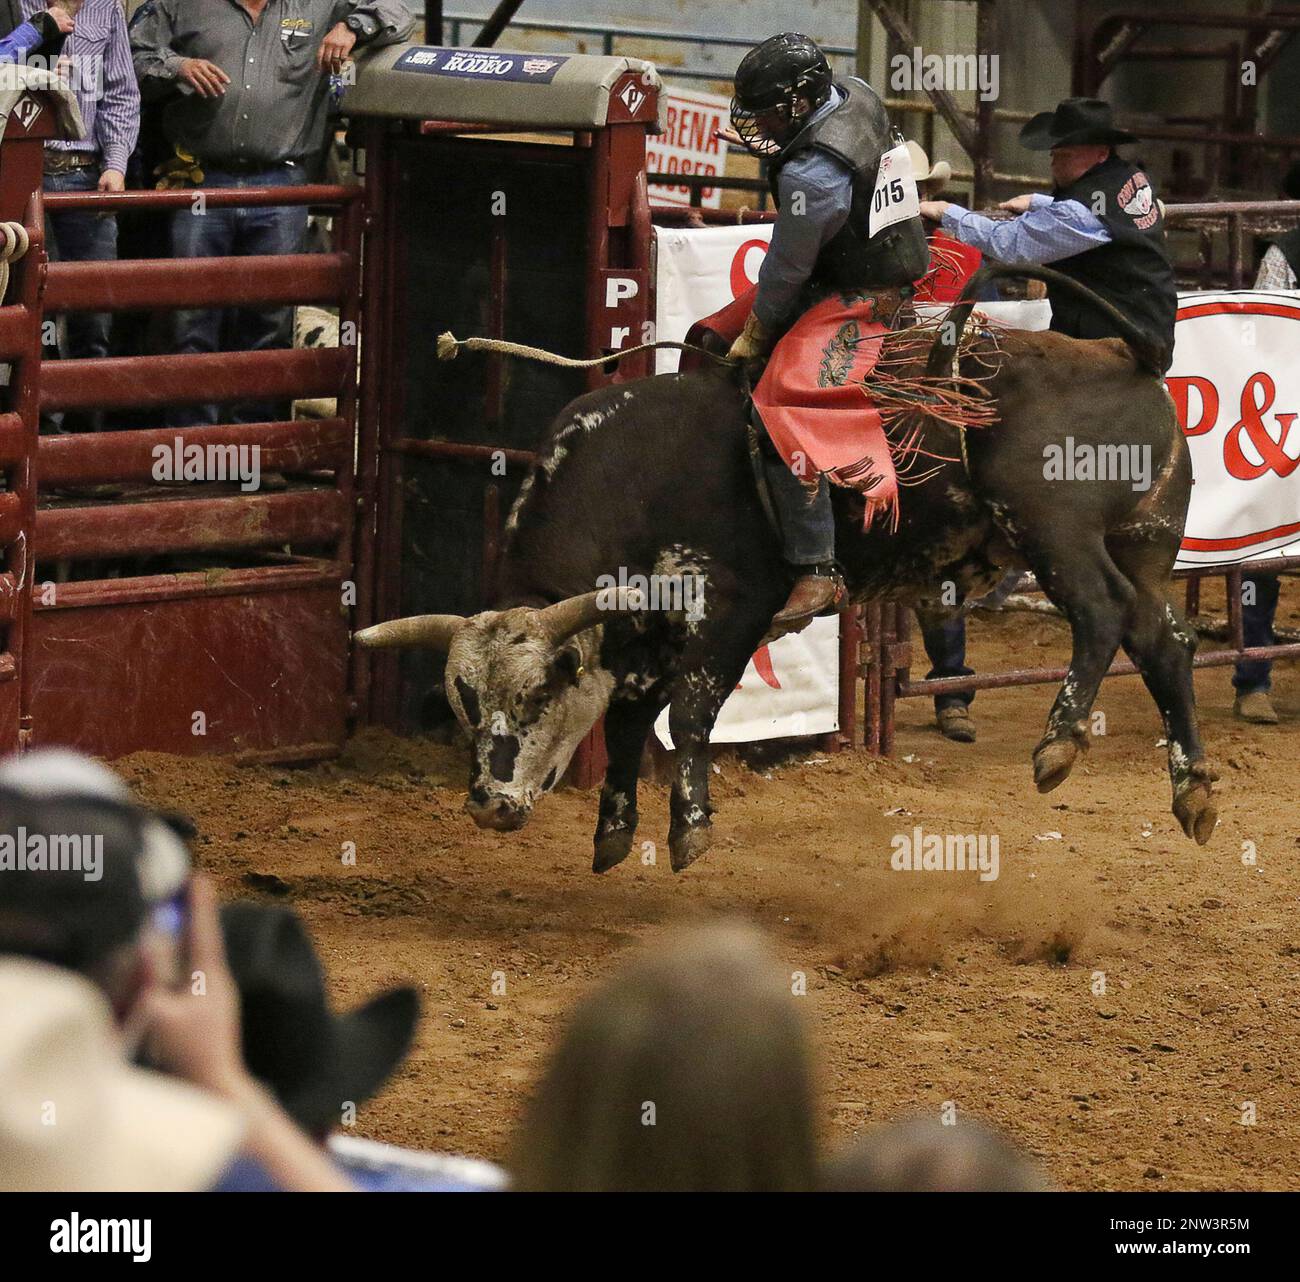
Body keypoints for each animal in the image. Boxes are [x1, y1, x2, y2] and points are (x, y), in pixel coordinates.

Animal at [356, 266, 1219, 873]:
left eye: (538, 693)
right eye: (464, 700)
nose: (489, 805)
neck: (636, 476)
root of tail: (1121, 353)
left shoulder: (731, 610)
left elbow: (690, 715)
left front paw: (689, 829)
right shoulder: (644, 634)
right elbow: (632, 718)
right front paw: (613, 831)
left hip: (1050, 526)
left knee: (1102, 613)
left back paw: (1059, 745)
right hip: (1144, 544)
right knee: (1164, 641)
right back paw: (1194, 790)